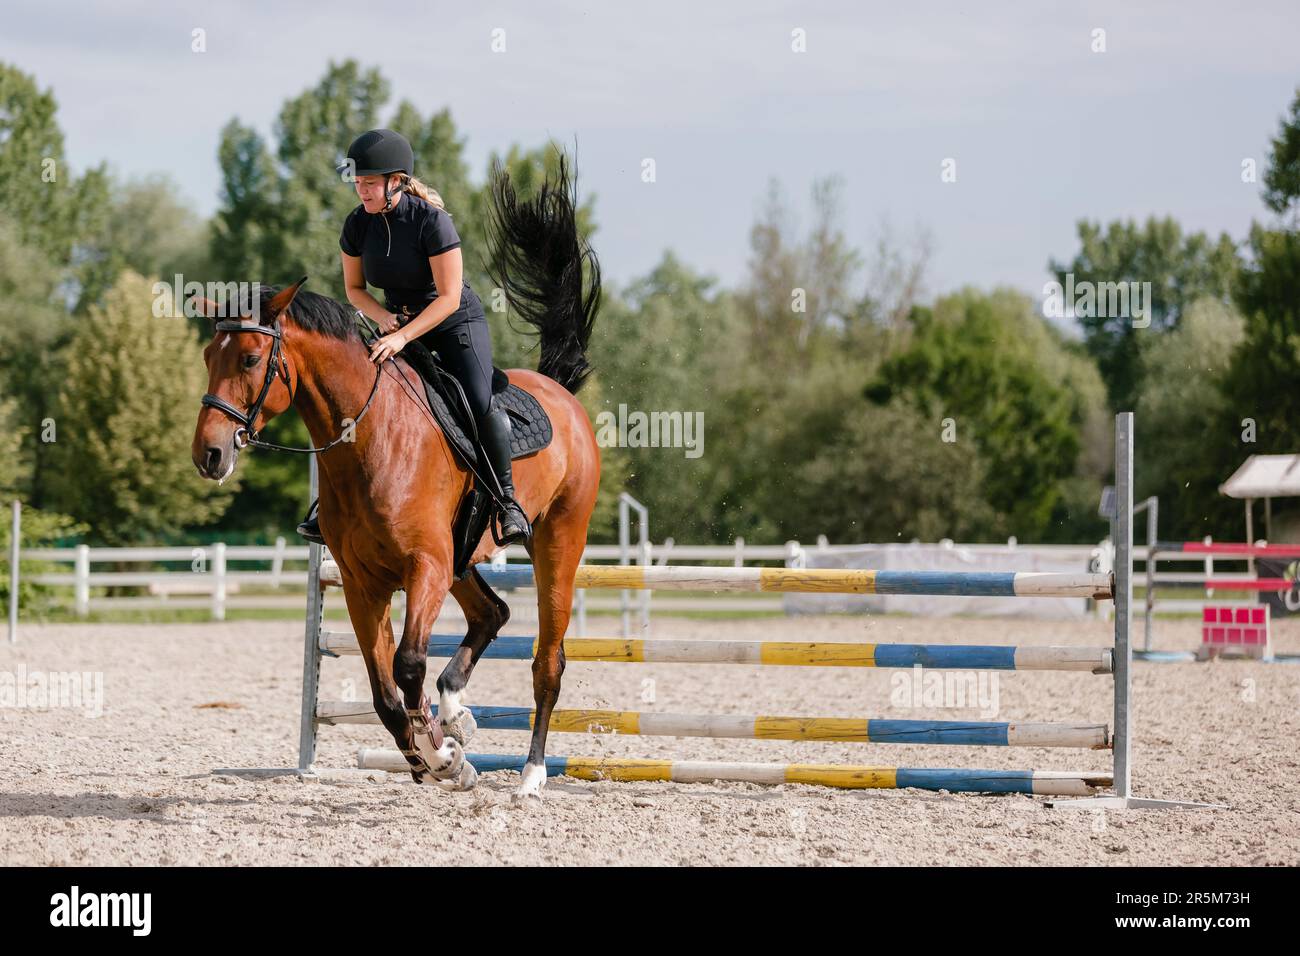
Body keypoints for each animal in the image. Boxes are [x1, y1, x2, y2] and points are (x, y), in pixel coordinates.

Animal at [191, 157, 601, 800]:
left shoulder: (423, 566)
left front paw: (443, 758)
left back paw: (531, 775)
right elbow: (384, 692)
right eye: (211, 356)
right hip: (462, 555)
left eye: (252, 360)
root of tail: (562, 396)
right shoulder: (364, 581)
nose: (208, 454)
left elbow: (408, 664)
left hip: (556, 542)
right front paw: (437, 753)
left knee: (547, 661)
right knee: (492, 615)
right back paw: (457, 710)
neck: (369, 443)